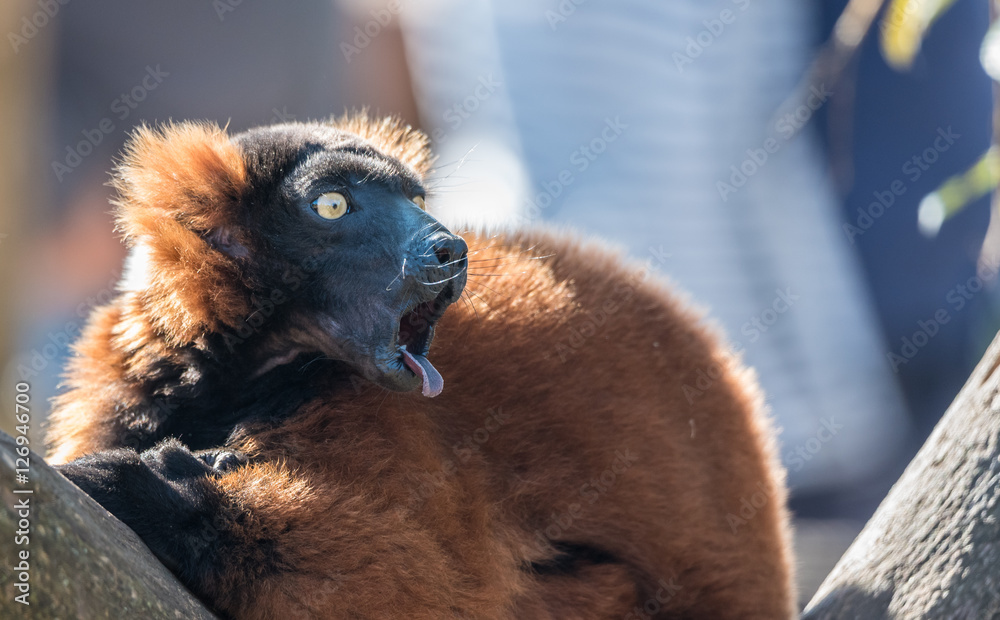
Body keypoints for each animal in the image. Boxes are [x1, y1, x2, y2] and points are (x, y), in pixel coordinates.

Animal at [48, 115, 796, 619]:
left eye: (413, 201)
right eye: (332, 205)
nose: (450, 250)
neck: (244, 377)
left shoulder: (381, 416)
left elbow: (422, 585)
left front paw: (158, 492)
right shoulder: (123, 378)